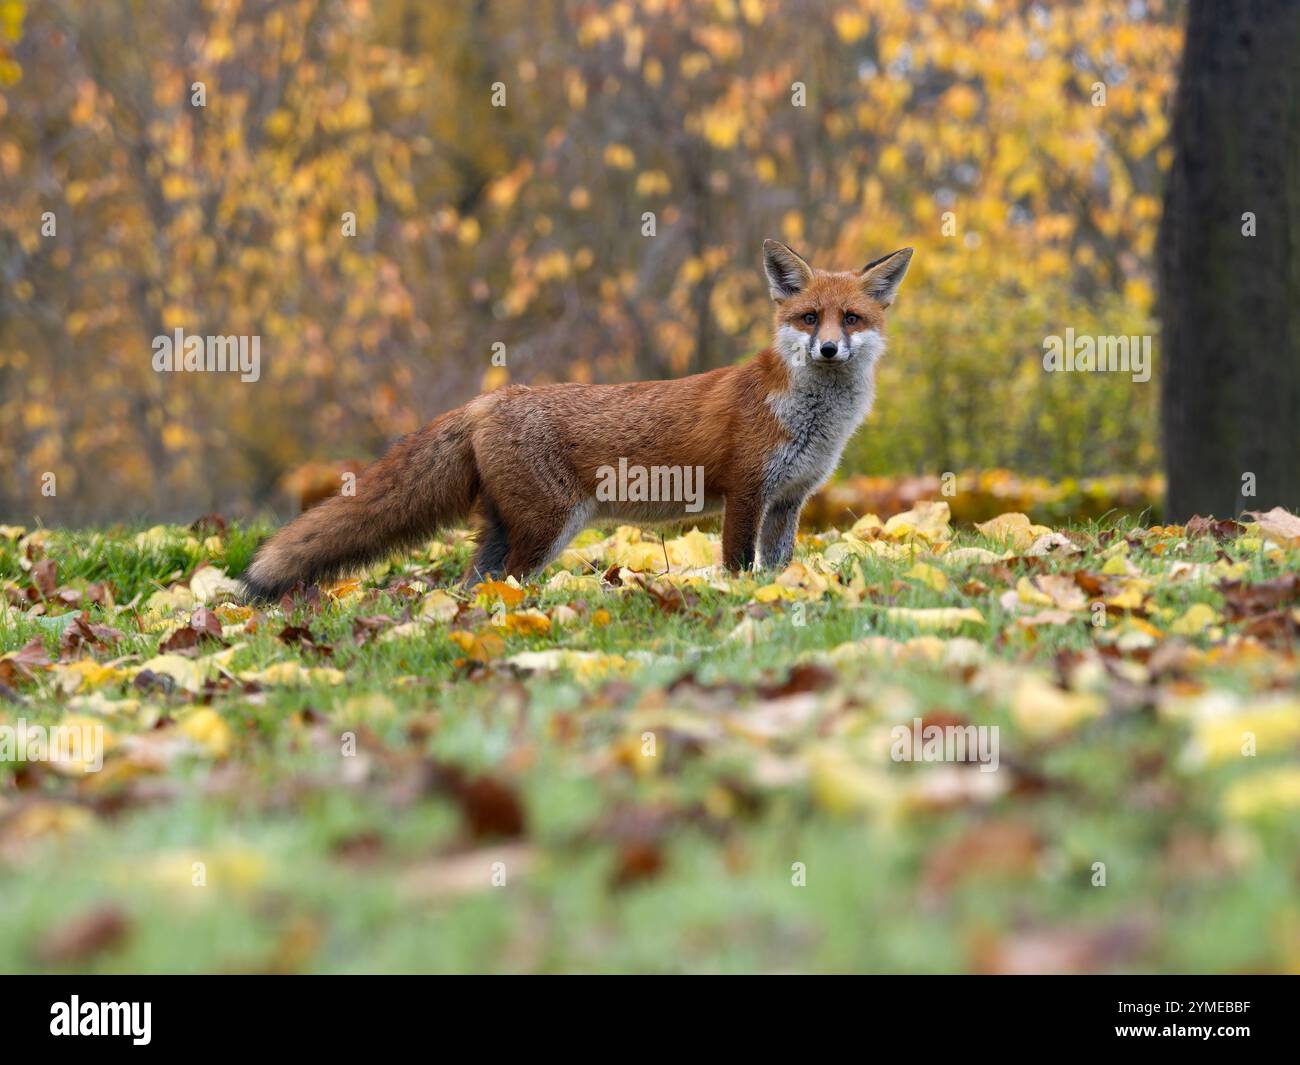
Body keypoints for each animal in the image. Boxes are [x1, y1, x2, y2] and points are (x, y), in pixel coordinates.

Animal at [240, 239, 912, 601]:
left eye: (851, 319)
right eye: (809, 318)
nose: (829, 349)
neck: (810, 419)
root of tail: (489, 399)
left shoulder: (789, 500)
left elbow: (776, 566)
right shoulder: (746, 492)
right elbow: (737, 567)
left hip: (509, 531)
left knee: (471, 585)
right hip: (547, 527)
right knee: (505, 584)